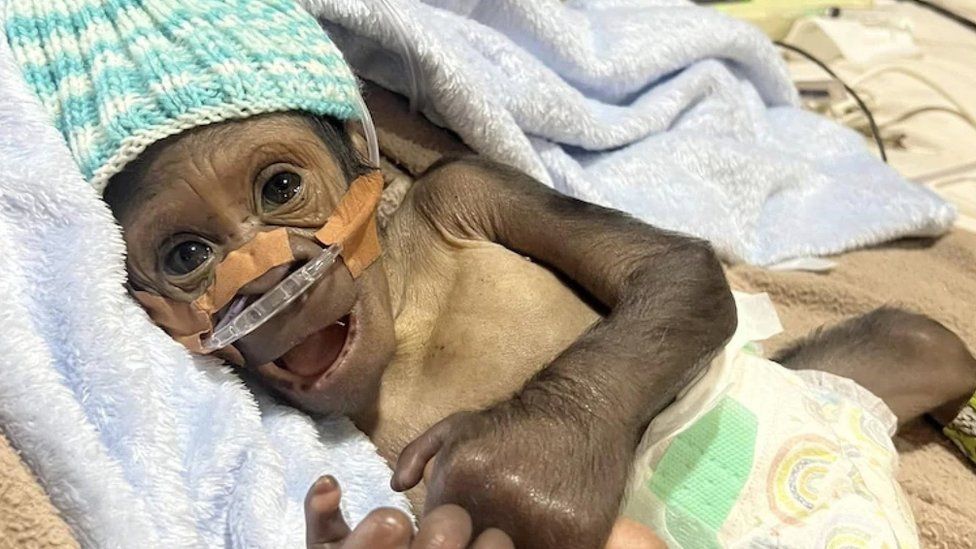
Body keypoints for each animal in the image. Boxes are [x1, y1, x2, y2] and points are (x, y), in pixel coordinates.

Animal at [104, 111, 976, 548]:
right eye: (189, 255)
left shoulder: (465, 184)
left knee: (929, 341)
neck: (404, 314)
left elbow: (675, 268)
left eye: (281, 186)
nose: (262, 280)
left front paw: (519, 463)